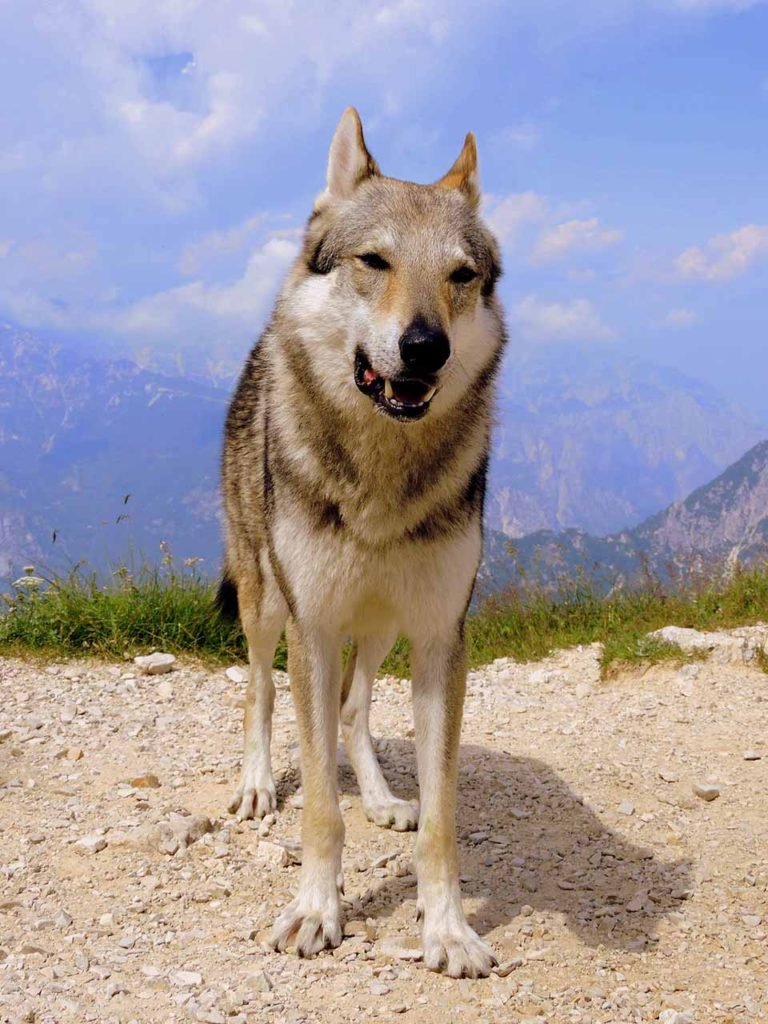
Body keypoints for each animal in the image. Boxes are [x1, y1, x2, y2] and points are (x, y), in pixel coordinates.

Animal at [218, 107, 505, 978]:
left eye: (460, 277)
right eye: (374, 262)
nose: (425, 347)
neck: (382, 477)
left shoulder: (443, 635)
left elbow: (442, 821)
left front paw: (447, 930)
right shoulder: (312, 627)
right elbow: (318, 805)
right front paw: (317, 911)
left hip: (382, 626)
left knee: (353, 711)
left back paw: (380, 798)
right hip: (266, 604)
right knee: (260, 691)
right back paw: (255, 785)